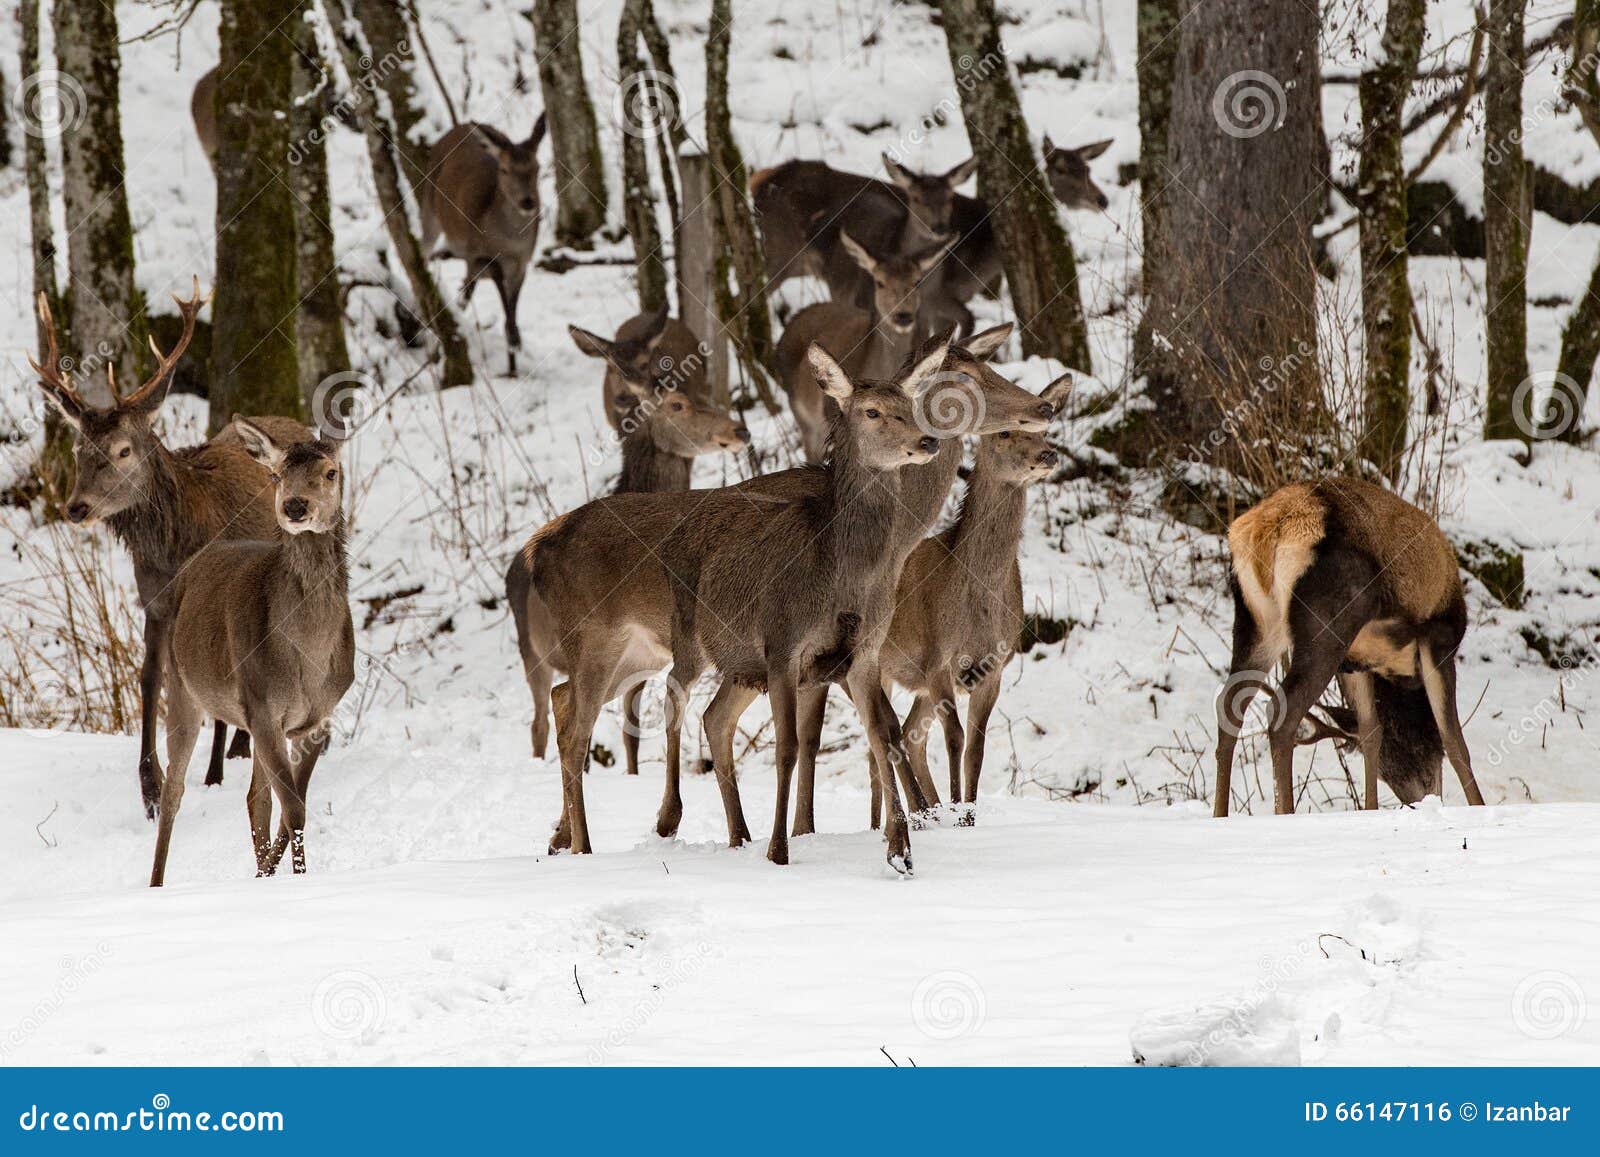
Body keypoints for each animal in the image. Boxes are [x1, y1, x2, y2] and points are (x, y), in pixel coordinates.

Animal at [29, 281, 312, 817]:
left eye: (122, 450)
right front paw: (150, 788)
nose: (76, 508)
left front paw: (211, 774)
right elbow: (149, 677)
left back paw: (232, 754)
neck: (177, 546)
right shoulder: (155, 601)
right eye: (77, 450)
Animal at [149, 420, 355, 887]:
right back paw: (156, 883)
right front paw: (296, 878)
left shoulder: (317, 717)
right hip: (184, 685)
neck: (308, 660)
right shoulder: (262, 705)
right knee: (174, 791)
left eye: (331, 472)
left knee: (253, 798)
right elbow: (293, 808)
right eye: (276, 475)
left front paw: (274, 874)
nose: (295, 506)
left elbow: (288, 806)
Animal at [419, 116, 547, 375]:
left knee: (462, 282)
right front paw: (514, 348)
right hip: (429, 209)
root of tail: (454, 129)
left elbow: (511, 309)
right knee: (422, 251)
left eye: (537, 168)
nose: (528, 202)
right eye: (505, 170)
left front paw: (513, 363)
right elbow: (498, 289)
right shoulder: (479, 254)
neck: (509, 243)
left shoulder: (523, 263)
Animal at [506, 333, 749, 776]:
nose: (740, 429)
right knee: (540, 722)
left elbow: (629, 731)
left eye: (704, 391)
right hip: (533, 652)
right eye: (677, 404)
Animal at [1214, 478, 1486, 817]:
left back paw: (1219, 814)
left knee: (1228, 705)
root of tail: (1269, 527)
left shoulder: (1356, 663)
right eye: (1420, 748)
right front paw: (1479, 806)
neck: (1396, 674)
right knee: (1282, 710)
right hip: (1329, 621)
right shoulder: (1438, 637)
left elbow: (1371, 732)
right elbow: (1454, 740)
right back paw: (1284, 811)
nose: (1421, 800)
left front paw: (1369, 808)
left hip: (1257, 621)